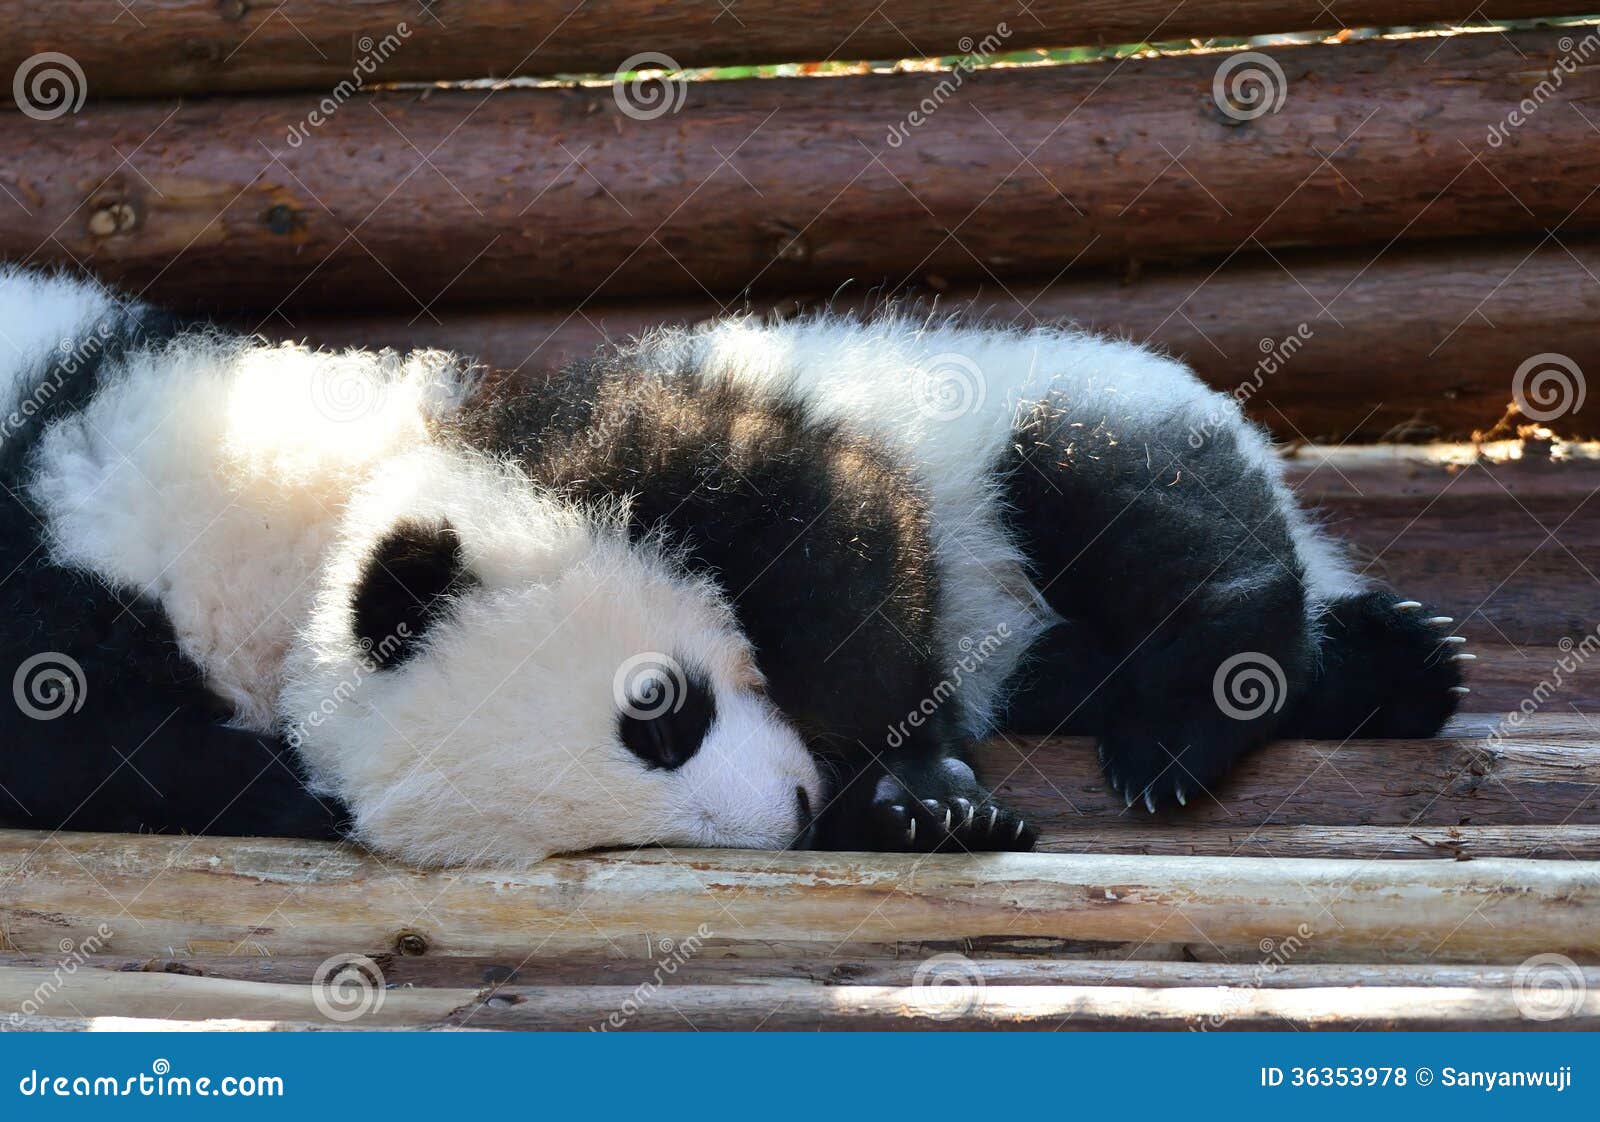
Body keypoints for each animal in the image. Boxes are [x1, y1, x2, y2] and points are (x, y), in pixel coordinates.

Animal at [0, 267, 1470, 865]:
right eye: (610, 828)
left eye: (658, 713)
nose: (793, 810)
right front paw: (911, 807)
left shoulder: (617, 437)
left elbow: (834, 531)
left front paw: (915, 786)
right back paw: (1392, 667)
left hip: (1055, 399)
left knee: (1139, 506)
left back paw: (1198, 715)